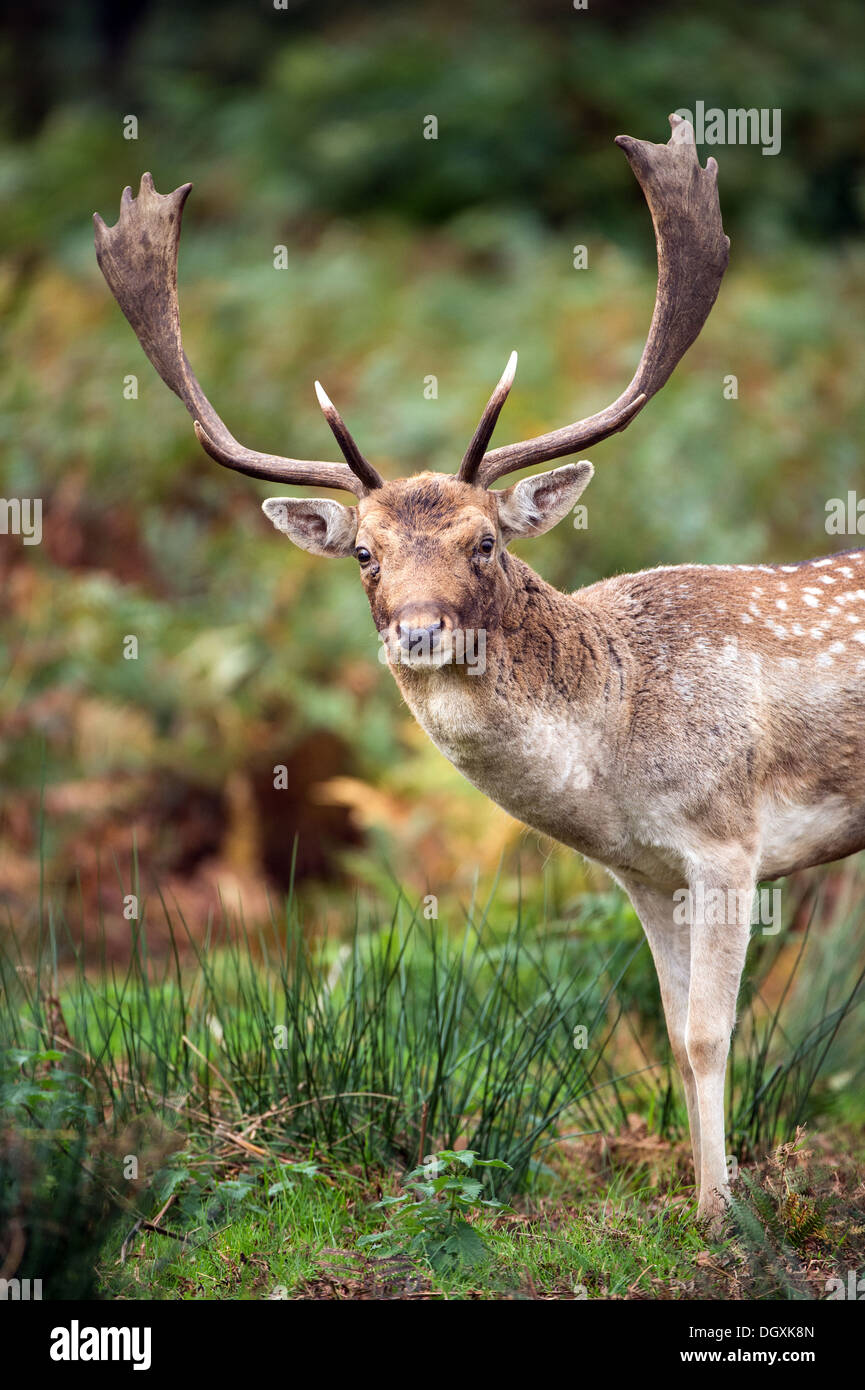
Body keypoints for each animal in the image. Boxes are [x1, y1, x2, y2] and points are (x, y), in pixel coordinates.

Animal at [95, 115, 865, 1226]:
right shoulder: (643, 872)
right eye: (363, 553)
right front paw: (690, 1198)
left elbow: (709, 1033)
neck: (615, 750)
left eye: (486, 543)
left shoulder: (729, 837)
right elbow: (671, 1031)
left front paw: (722, 1219)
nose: (418, 630)